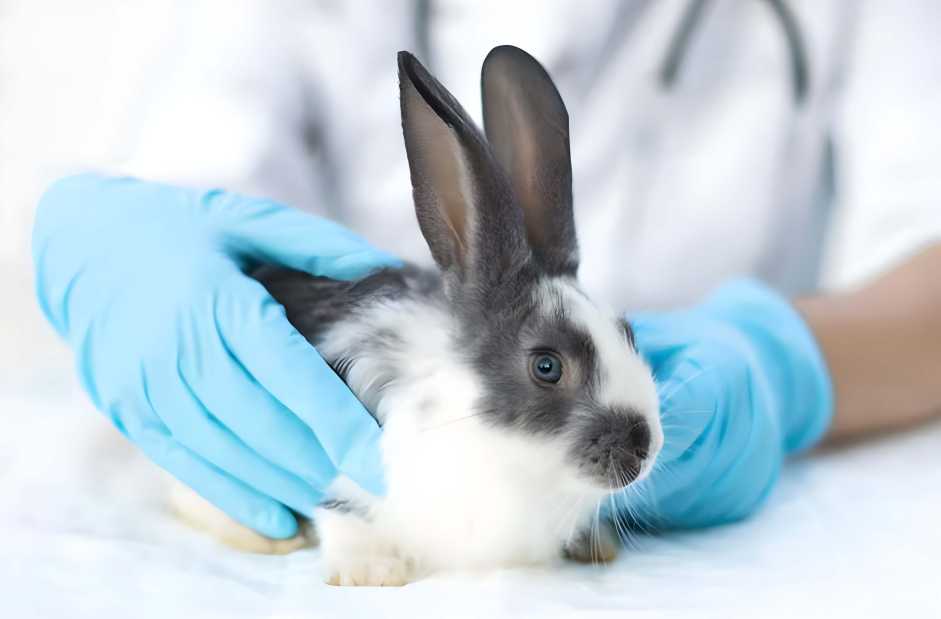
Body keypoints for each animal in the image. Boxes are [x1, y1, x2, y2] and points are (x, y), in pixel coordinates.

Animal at [171, 45, 663, 586]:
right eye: (547, 366)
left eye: (628, 334)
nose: (644, 446)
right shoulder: (347, 474)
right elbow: (342, 517)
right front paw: (372, 573)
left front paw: (598, 547)